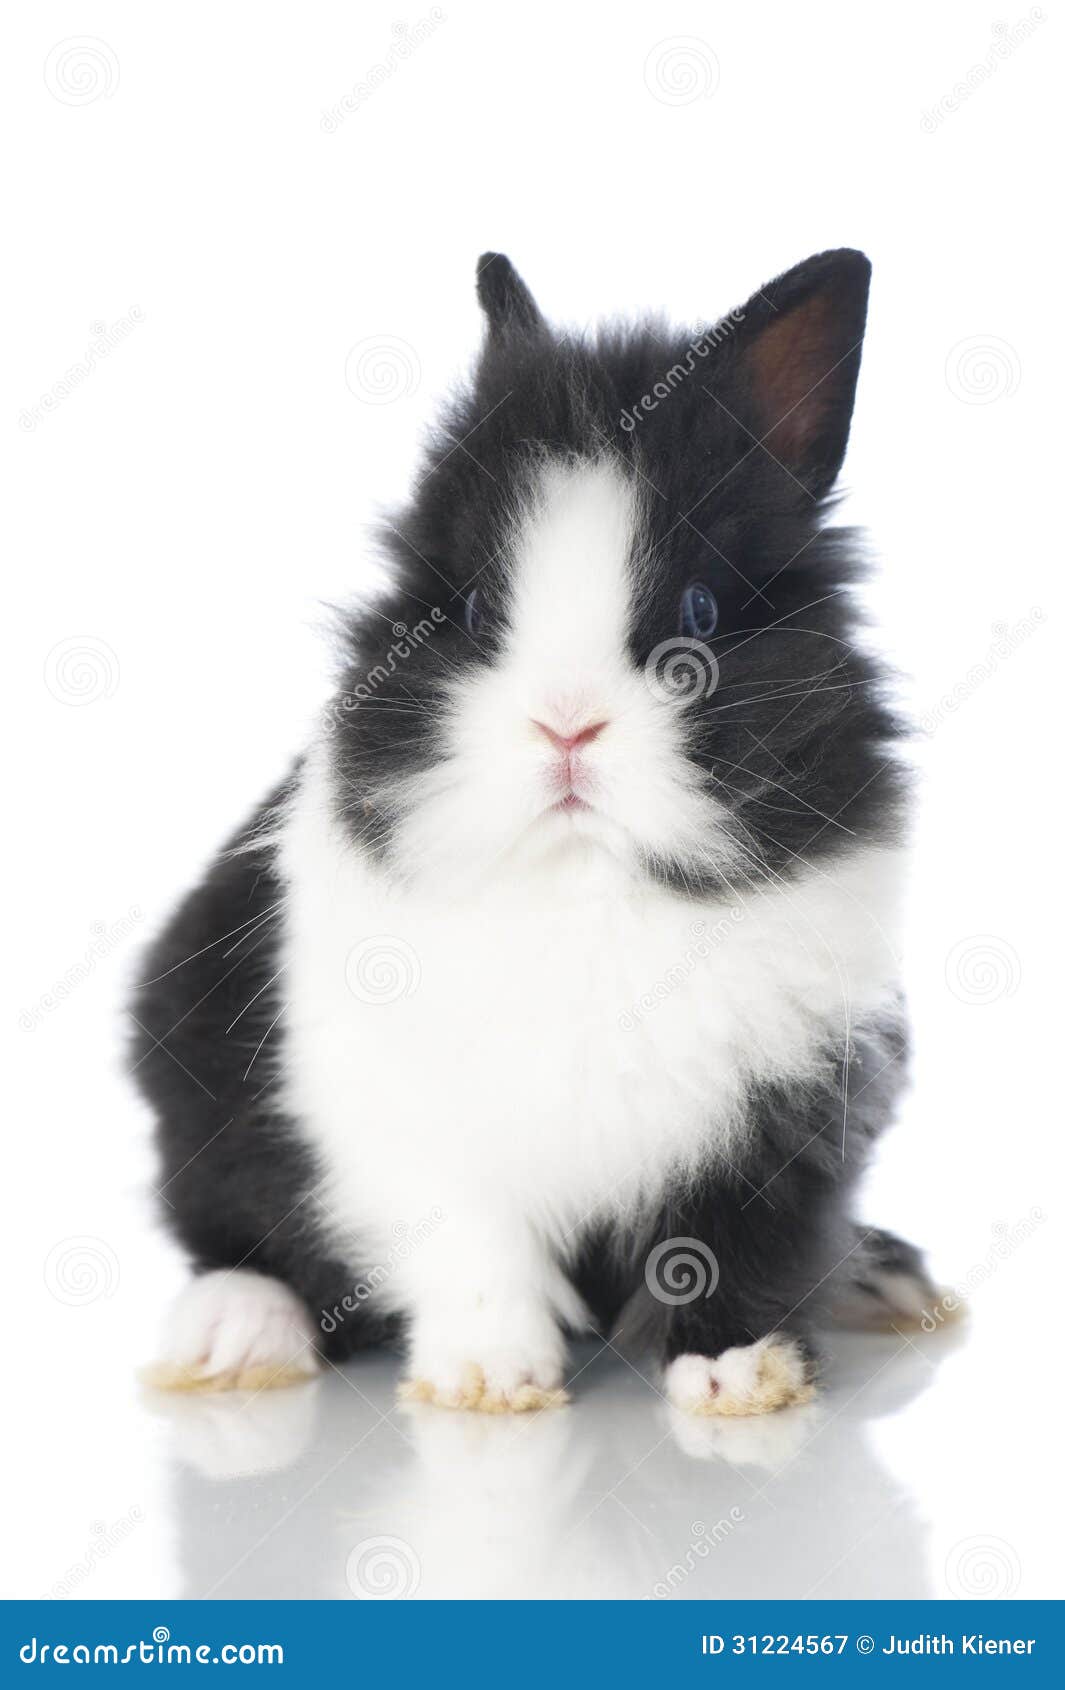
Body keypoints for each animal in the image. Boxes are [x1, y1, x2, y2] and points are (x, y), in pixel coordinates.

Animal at [132, 248, 945, 1418]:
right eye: (475, 613)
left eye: (699, 615)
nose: (566, 724)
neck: (587, 880)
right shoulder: (396, 1108)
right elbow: (470, 1238)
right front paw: (487, 1378)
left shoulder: (796, 1105)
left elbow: (742, 1241)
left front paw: (739, 1374)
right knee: (236, 1238)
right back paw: (235, 1337)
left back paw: (886, 1283)